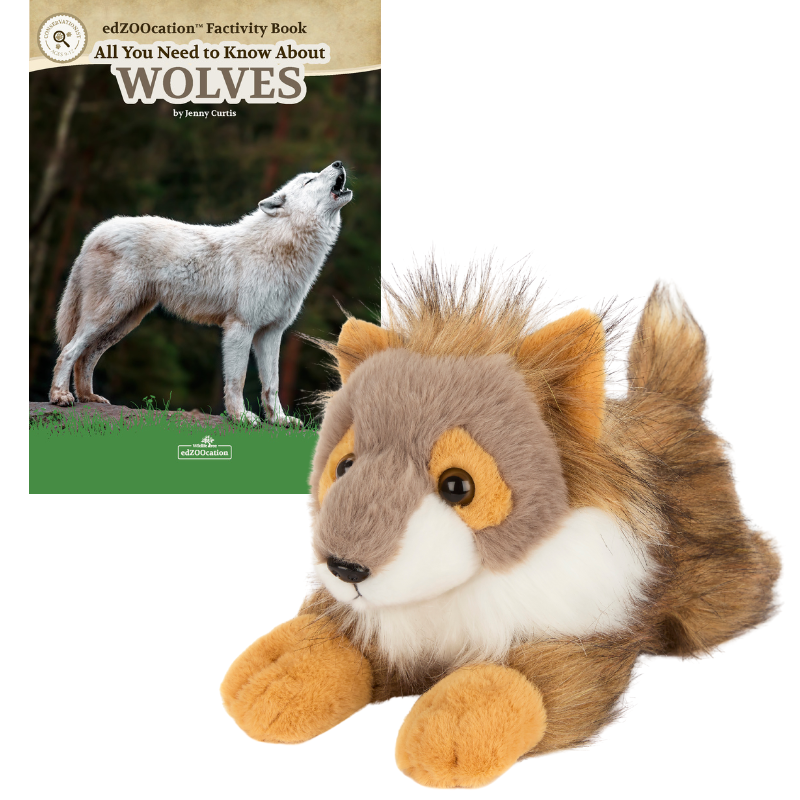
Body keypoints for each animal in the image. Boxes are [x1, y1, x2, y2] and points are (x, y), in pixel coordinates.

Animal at [49, 161, 353, 426]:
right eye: (309, 180)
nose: (338, 163)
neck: (281, 246)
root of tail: (96, 232)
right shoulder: (240, 327)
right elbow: (237, 380)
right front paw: (241, 417)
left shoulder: (271, 332)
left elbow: (272, 384)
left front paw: (279, 420)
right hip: (109, 315)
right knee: (69, 351)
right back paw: (61, 396)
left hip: (124, 322)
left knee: (86, 356)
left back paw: (88, 398)